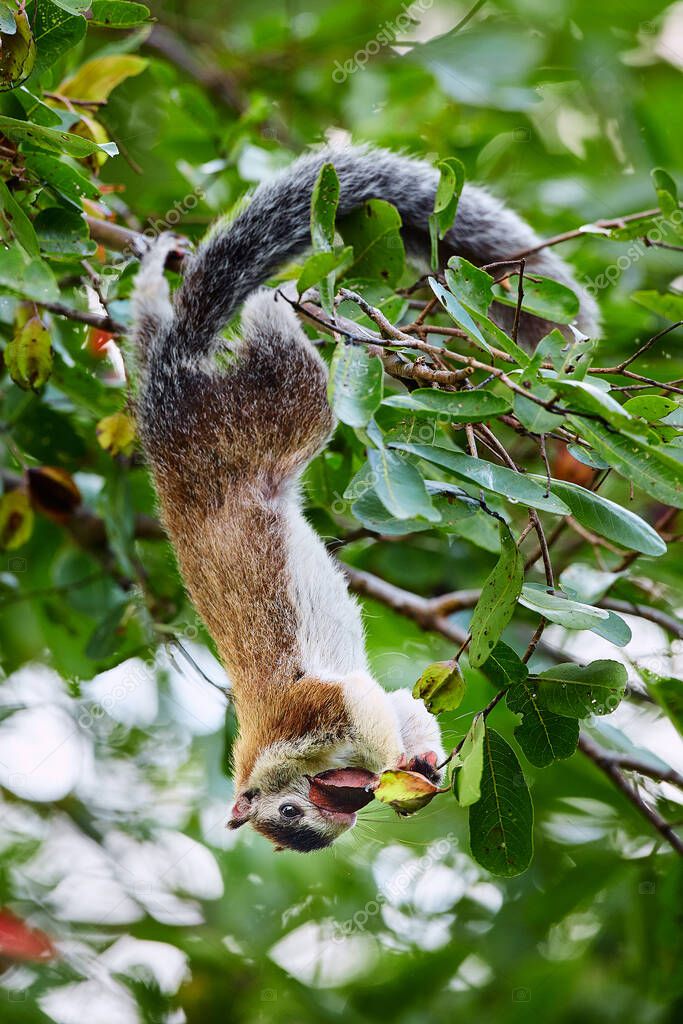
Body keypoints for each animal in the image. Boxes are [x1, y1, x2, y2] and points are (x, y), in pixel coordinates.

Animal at [131, 145, 599, 853]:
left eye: (289, 810)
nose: (345, 813)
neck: (269, 751)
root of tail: (168, 412)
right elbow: (403, 707)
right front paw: (418, 760)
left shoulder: (307, 709)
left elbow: (362, 704)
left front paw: (391, 763)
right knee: (159, 325)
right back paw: (159, 277)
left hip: (264, 416)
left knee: (274, 346)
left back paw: (301, 303)